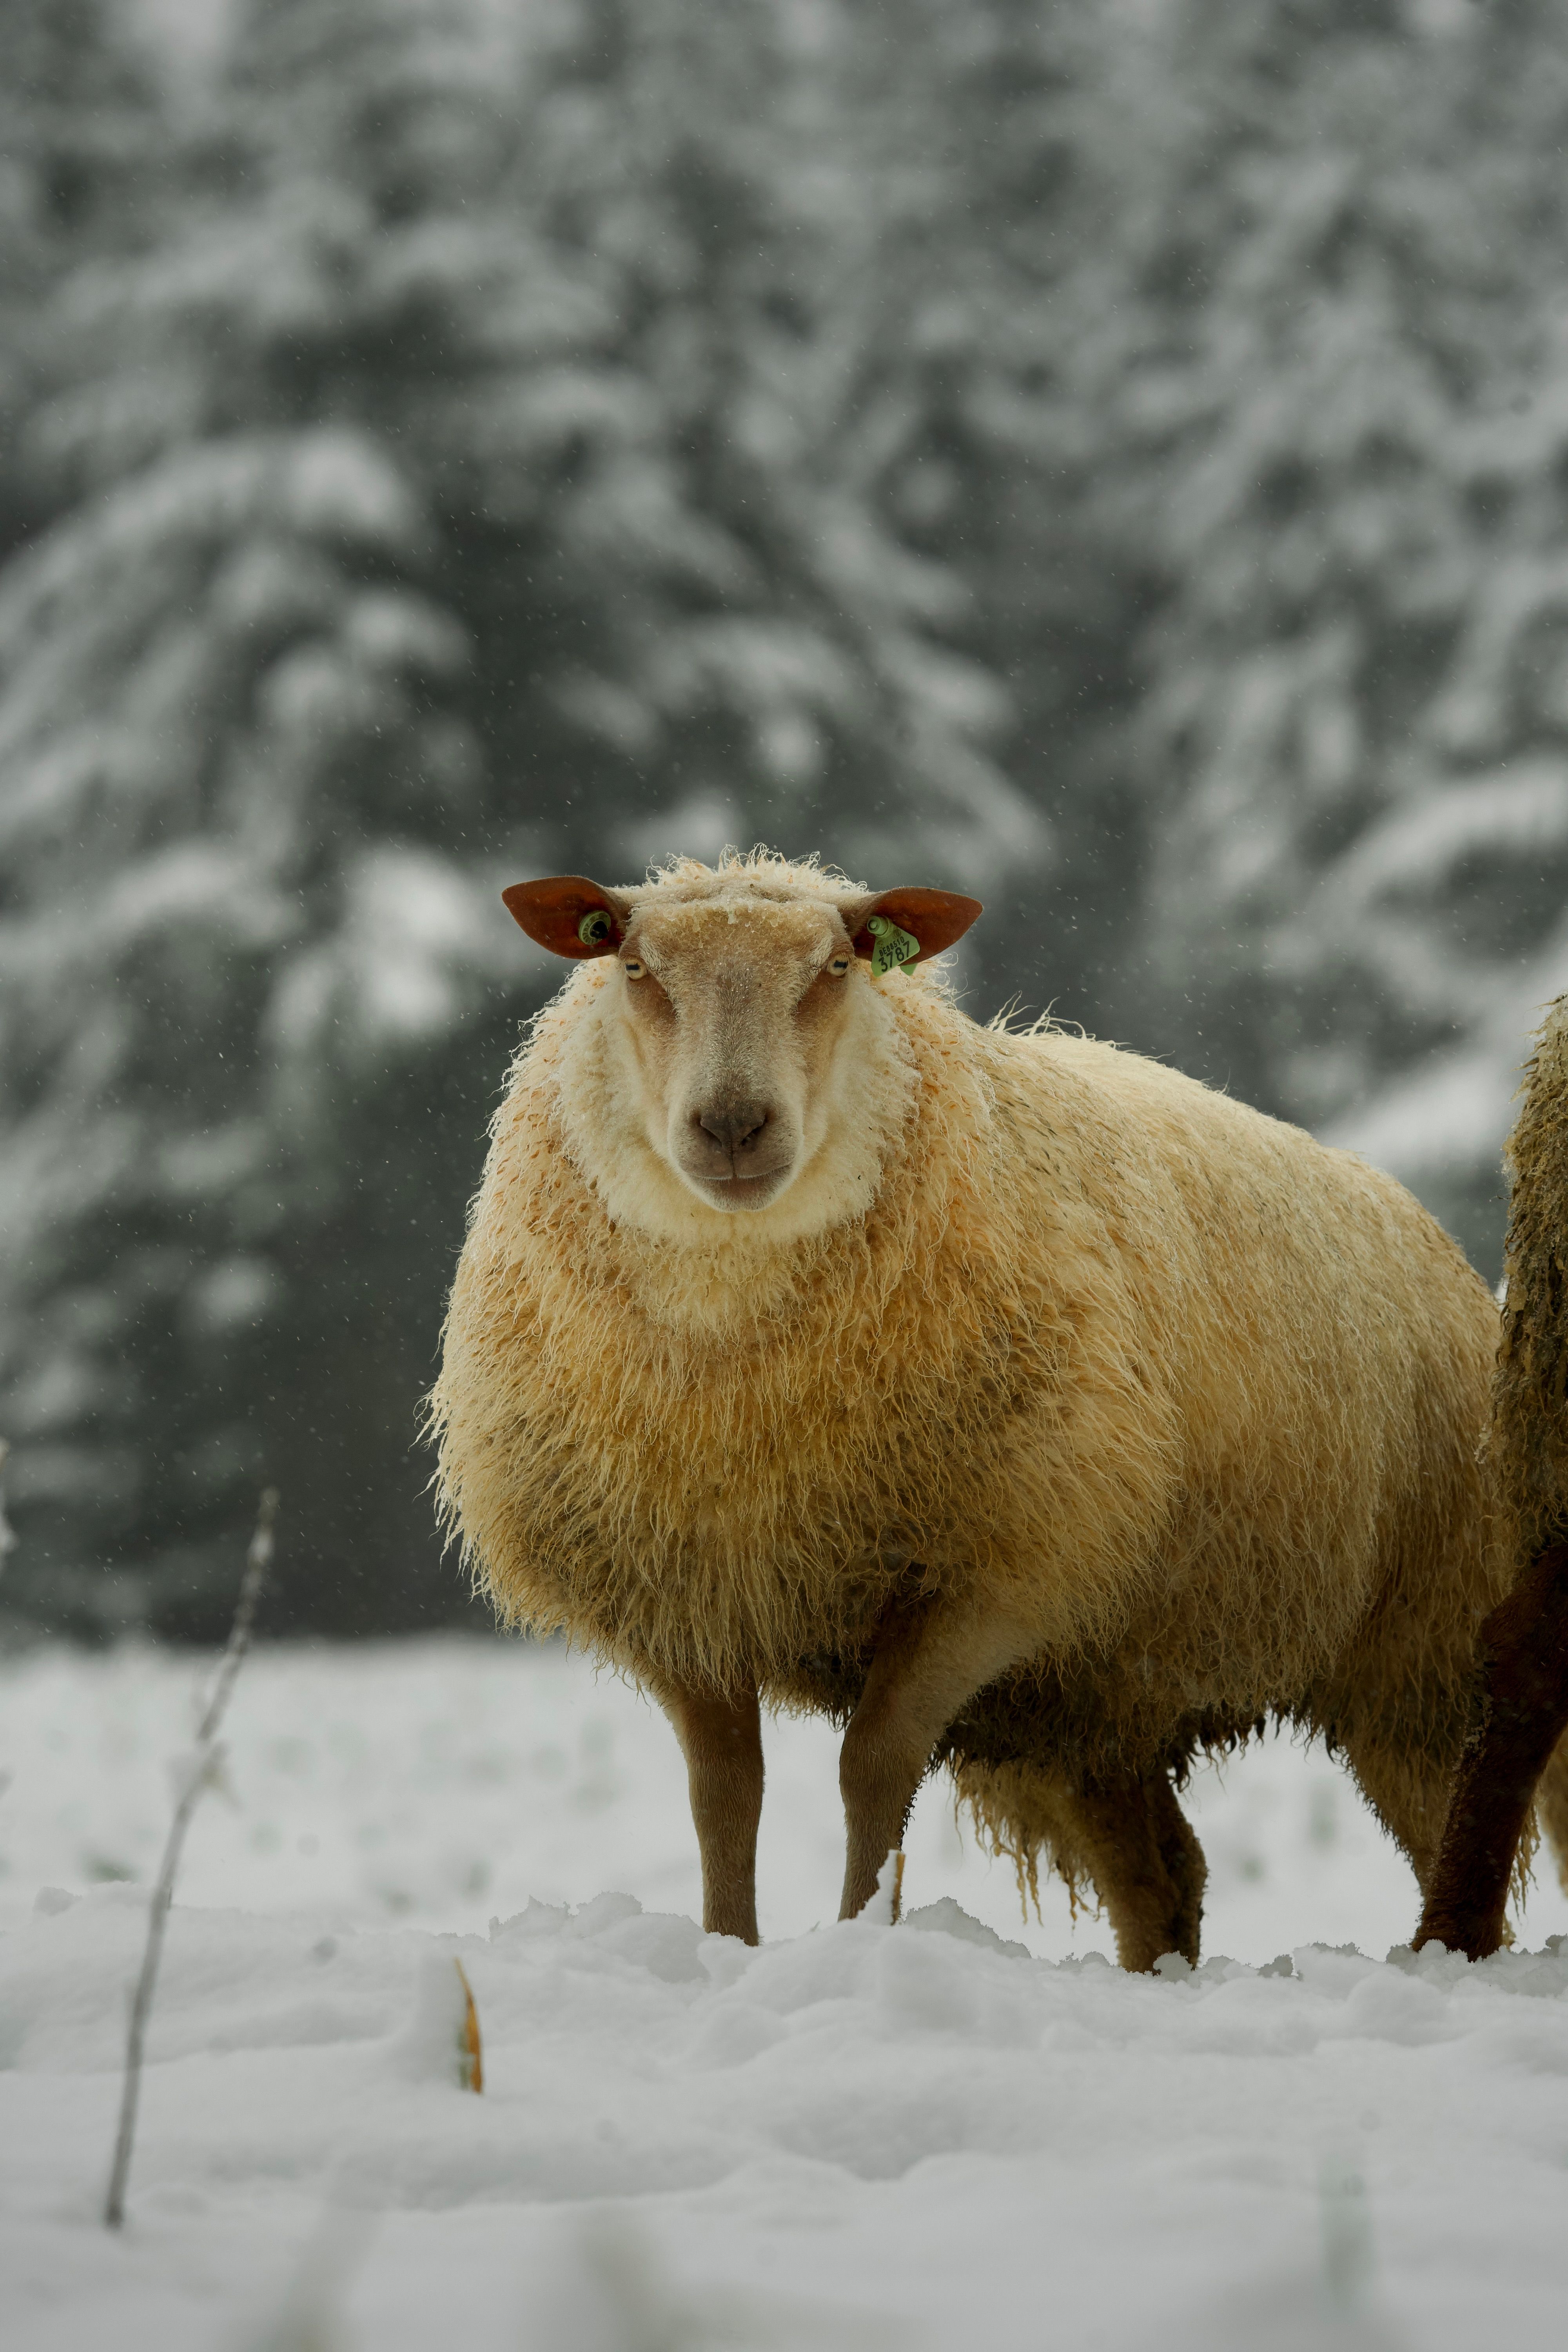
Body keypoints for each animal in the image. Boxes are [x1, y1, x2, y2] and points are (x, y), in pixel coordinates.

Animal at [430, 850, 1518, 1968]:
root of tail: (1431, 1237)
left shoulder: (995, 1574)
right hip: (1096, 1703)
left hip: (1423, 1651)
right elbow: (723, 1797)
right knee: (1164, 1878)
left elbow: (871, 1765)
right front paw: (726, 1949)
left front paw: (860, 1932)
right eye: (635, 966)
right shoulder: (688, 1598)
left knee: (1462, 1826)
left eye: (836, 966)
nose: (731, 1127)